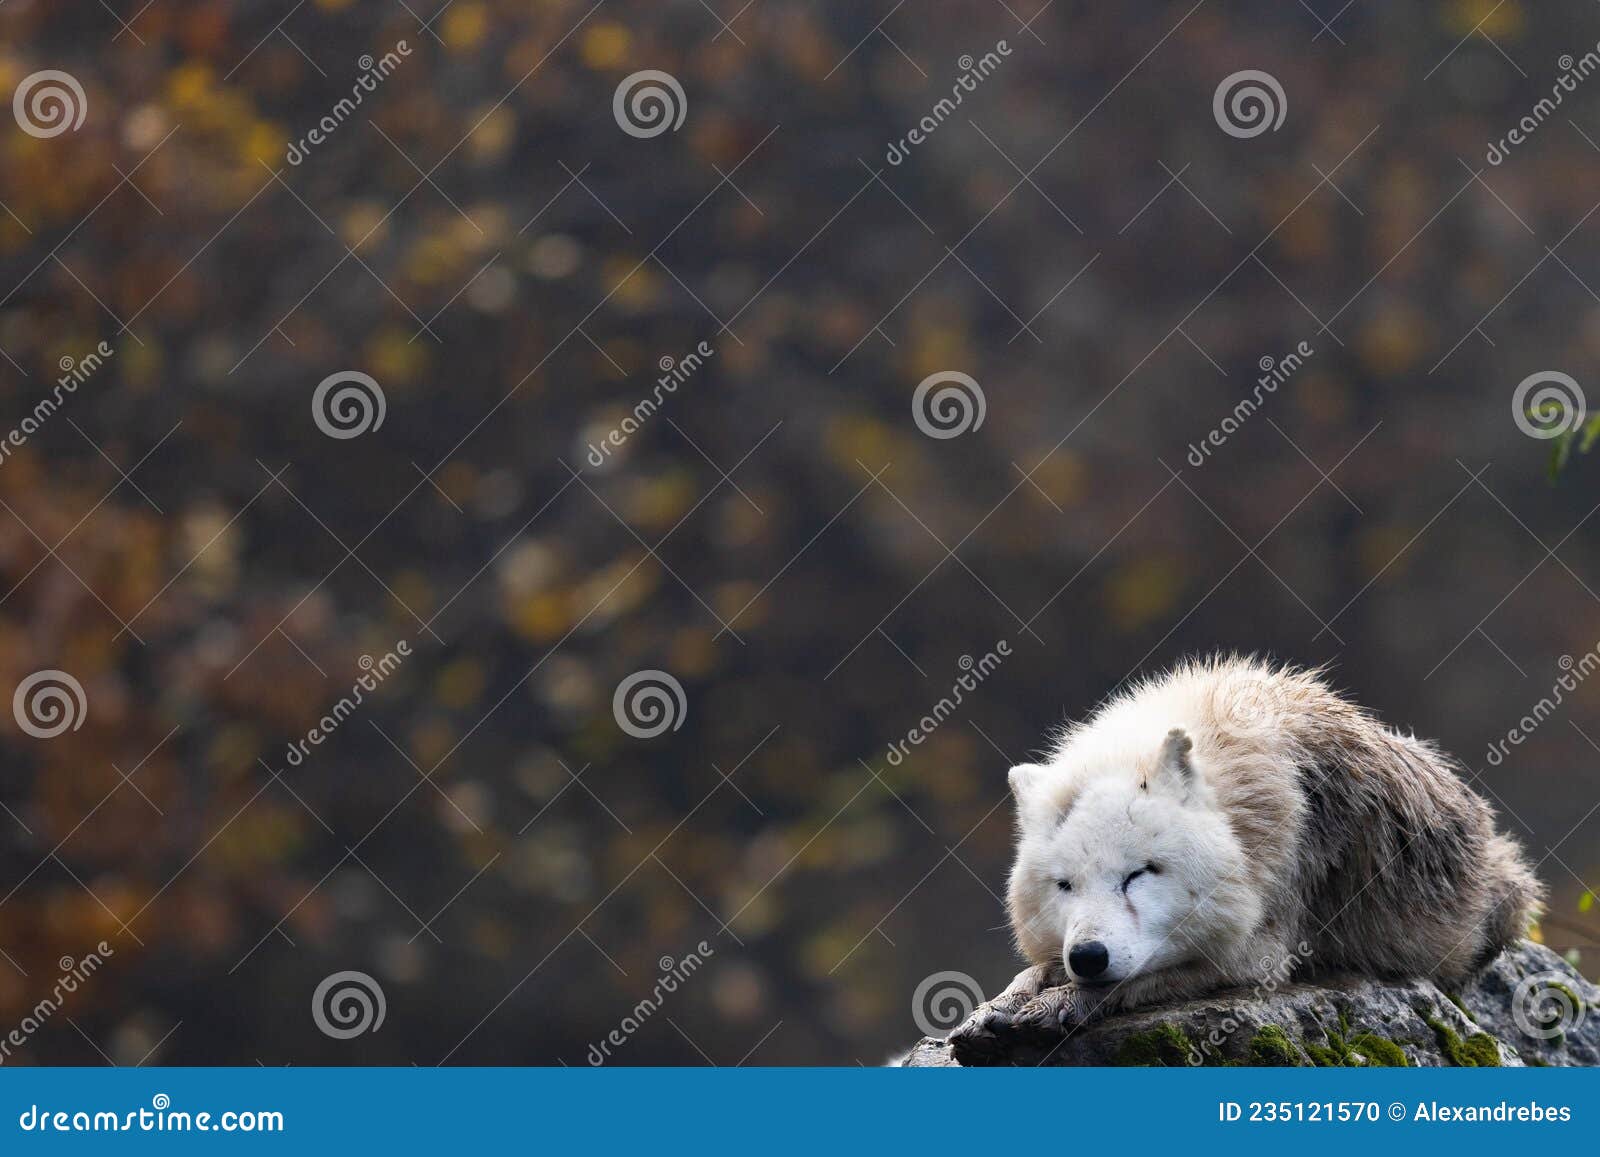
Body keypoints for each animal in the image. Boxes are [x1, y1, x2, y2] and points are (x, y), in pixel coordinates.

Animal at [949, 655, 1543, 1057]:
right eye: (1065, 885)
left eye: (1139, 874)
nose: (1088, 956)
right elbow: (1034, 970)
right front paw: (1002, 1004)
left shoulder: (1261, 953)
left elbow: (1136, 981)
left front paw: (1059, 1004)